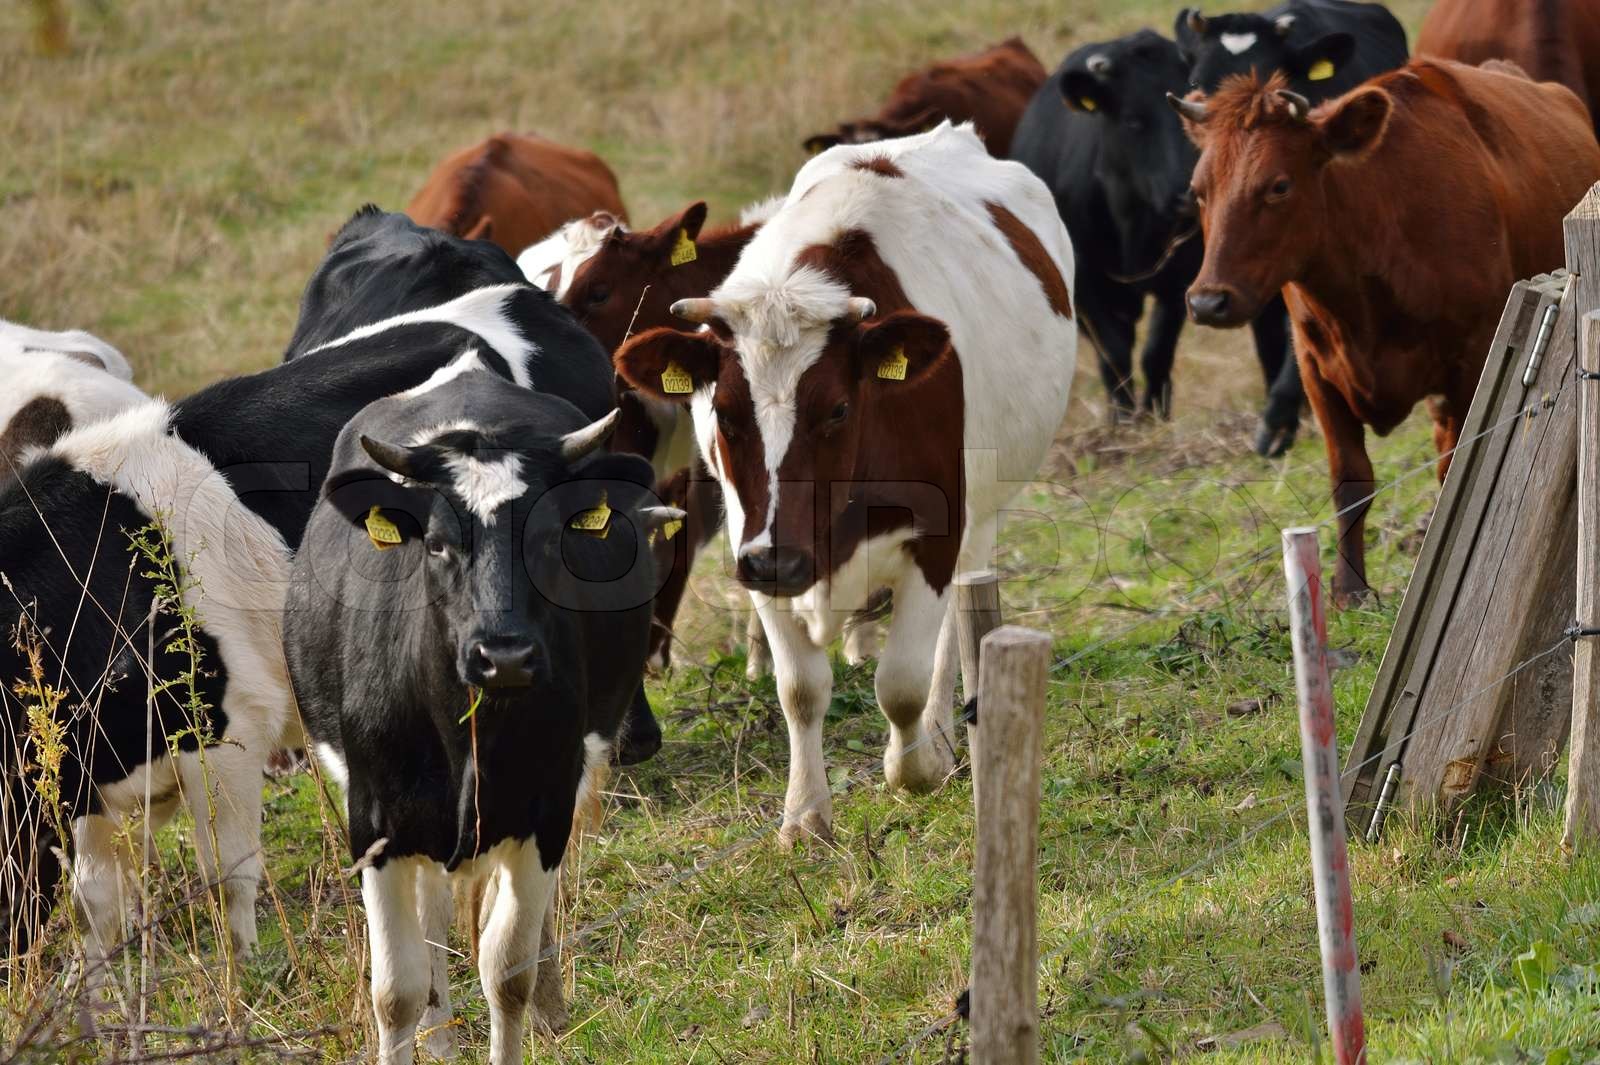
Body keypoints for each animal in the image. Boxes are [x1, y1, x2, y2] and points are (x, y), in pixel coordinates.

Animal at [284, 367, 674, 1065]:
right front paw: (422, 1025)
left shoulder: (545, 811)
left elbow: (506, 969)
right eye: (437, 545)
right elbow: (396, 991)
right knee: (433, 921)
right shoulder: (374, 822)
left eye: (549, 538)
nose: (504, 654)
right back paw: (439, 1035)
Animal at [614, 124, 1077, 844]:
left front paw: (915, 767)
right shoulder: (757, 546)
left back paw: (943, 736)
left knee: (954, 632)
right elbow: (800, 688)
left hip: (982, 514)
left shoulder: (935, 533)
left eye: (836, 409)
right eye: (724, 412)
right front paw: (805, 815)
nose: (781, 560)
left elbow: (903, 681)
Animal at [1172, 60, 1600, 604]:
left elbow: (1455, 470)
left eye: (1279, 186)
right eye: (1198, 191)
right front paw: (1347, 589)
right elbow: (1350, 481)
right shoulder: (1314, 366)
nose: (1208, 300)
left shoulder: (1474, 358)